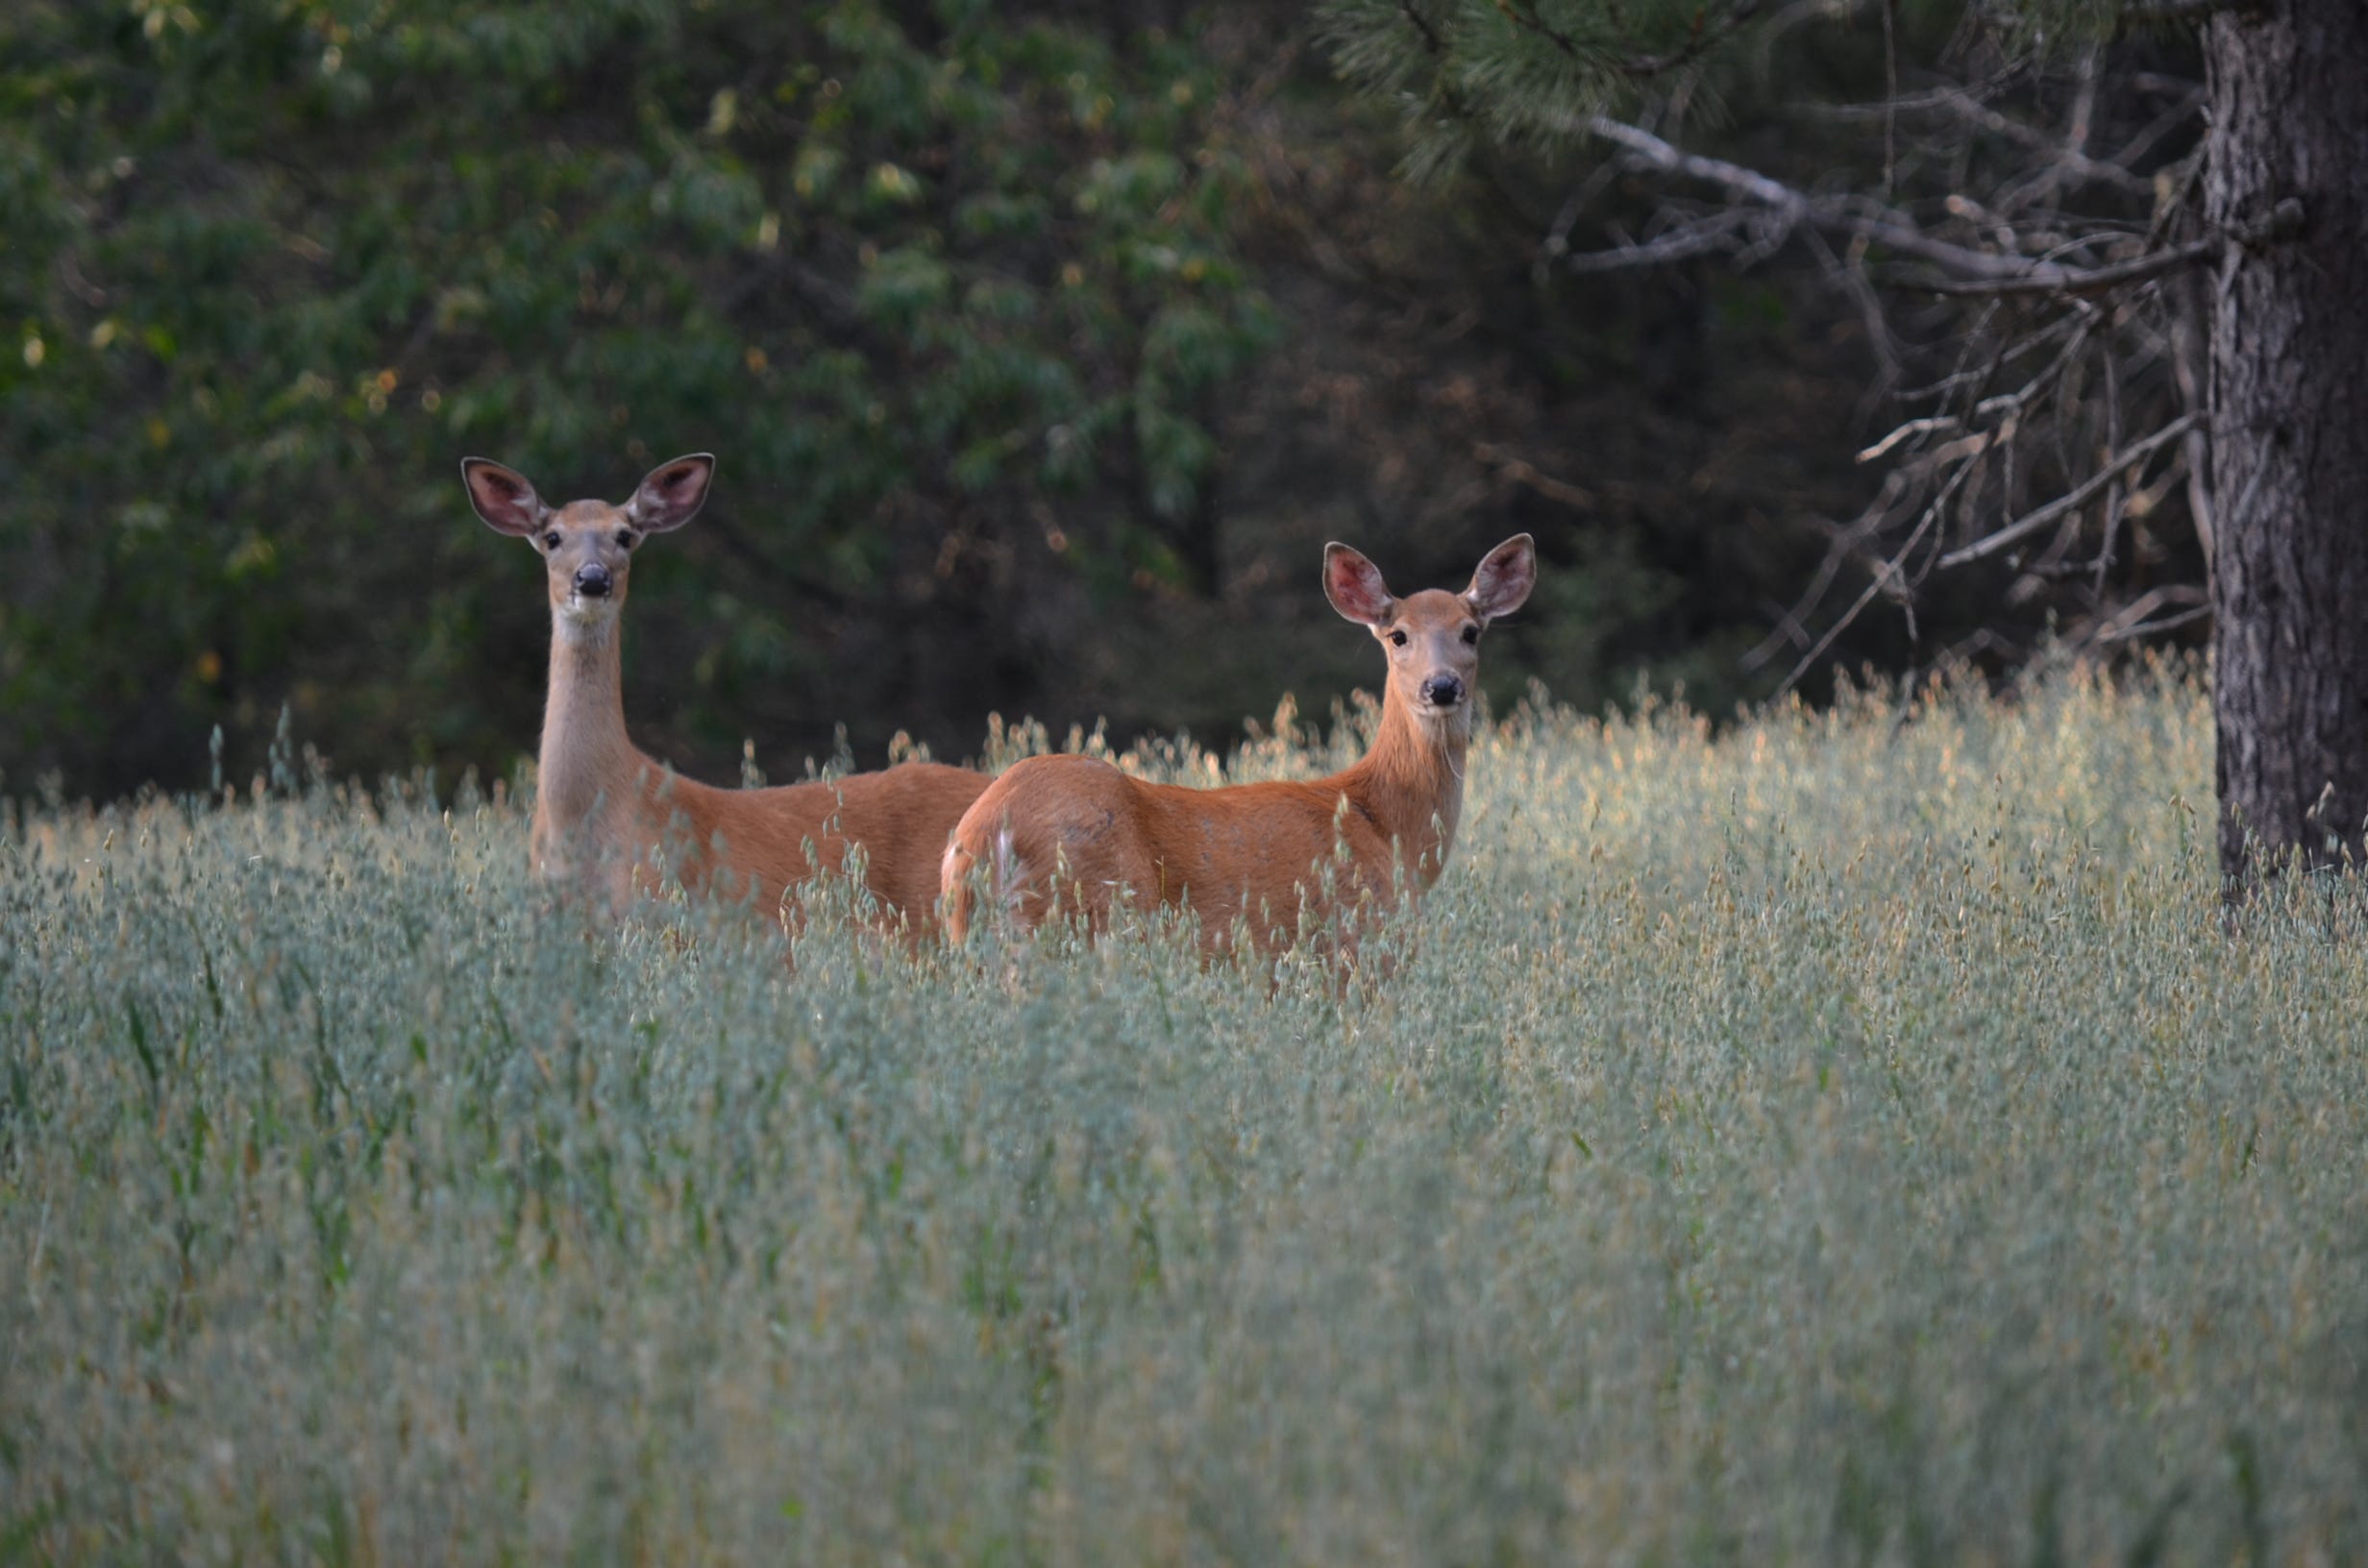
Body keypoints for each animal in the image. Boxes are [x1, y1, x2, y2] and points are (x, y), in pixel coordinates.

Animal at [940, 534, 1536, 959]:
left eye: (1470, 632)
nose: (1442, 686)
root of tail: (987, 830)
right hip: (1097, 916)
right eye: (1398, 636)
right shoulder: (1356, 941)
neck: (1387, 828)